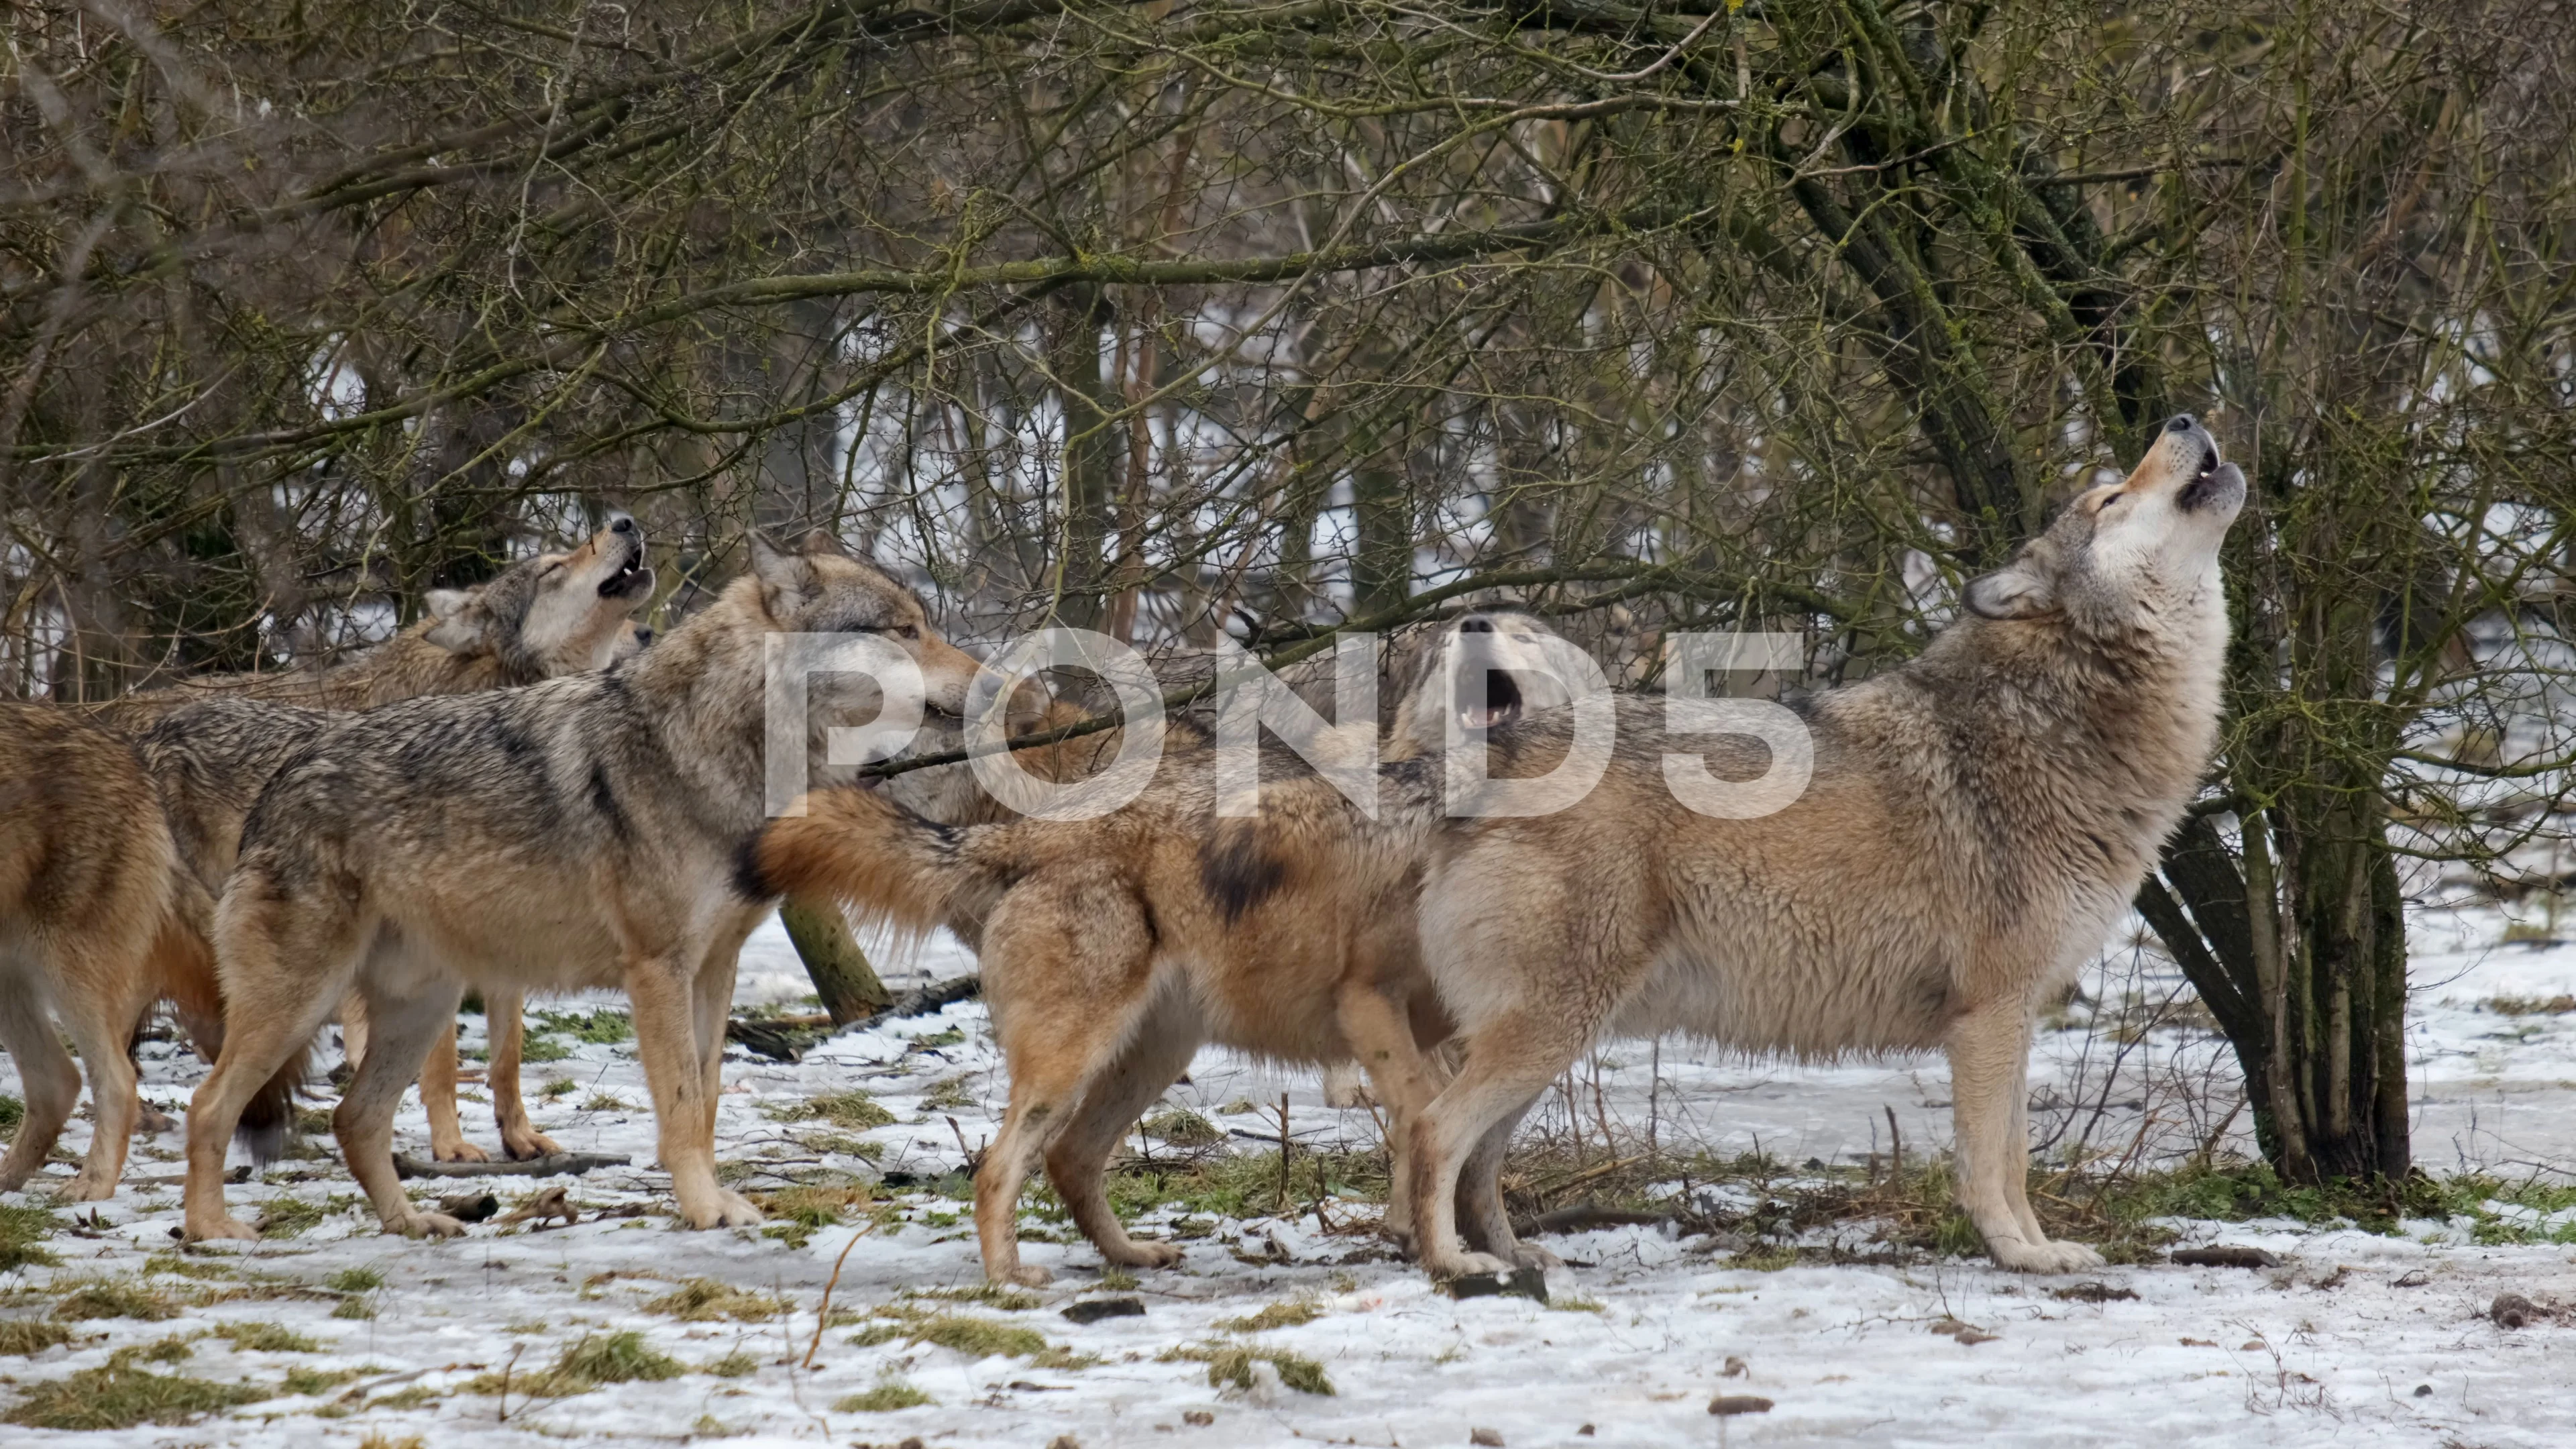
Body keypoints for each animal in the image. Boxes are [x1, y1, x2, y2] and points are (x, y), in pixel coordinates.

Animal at [177, 534, 984, 1240]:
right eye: (906, 631)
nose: (991, 683)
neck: (717, 741)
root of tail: (282, 781)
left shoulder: (716, 967)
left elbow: (708, 1100)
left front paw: (719, 1202)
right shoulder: (657, 969)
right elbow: (682, 1107)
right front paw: (705, 1211)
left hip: (420, 1007)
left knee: (356, 1119)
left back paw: (412, 1223)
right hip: (299, 1003)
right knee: (208, 1106)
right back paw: (211, 1231)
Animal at [751, 608, 1577, 1284]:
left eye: (1529, 635)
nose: (1472, 622)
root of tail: (1041, 831)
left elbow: (1454, 1150)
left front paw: (1459, 1241)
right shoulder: (1384, 1013)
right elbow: (1430, 1128)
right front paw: (1438, 1244)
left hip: (1147, 1056)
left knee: (1066, 1159)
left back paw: (1126, 1256)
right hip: (1077, 1060)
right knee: (999, 1166)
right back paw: (1010, 1277)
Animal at [1244, 416, 2244, 1280]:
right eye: (2111, 497)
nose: (2185, 417)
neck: (2063, 711)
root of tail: (1488, 756)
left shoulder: (2021, 1015)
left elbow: (2021, 1161)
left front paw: (2042, 1247)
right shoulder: (1989, 1016)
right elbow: (1991, 1167)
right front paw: (2019, 1257)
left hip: (1548, 1040)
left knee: (1475, 1156)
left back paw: (1518, 1256)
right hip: (1547, 1030)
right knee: (1433, 1132)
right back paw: (1455, 1266)